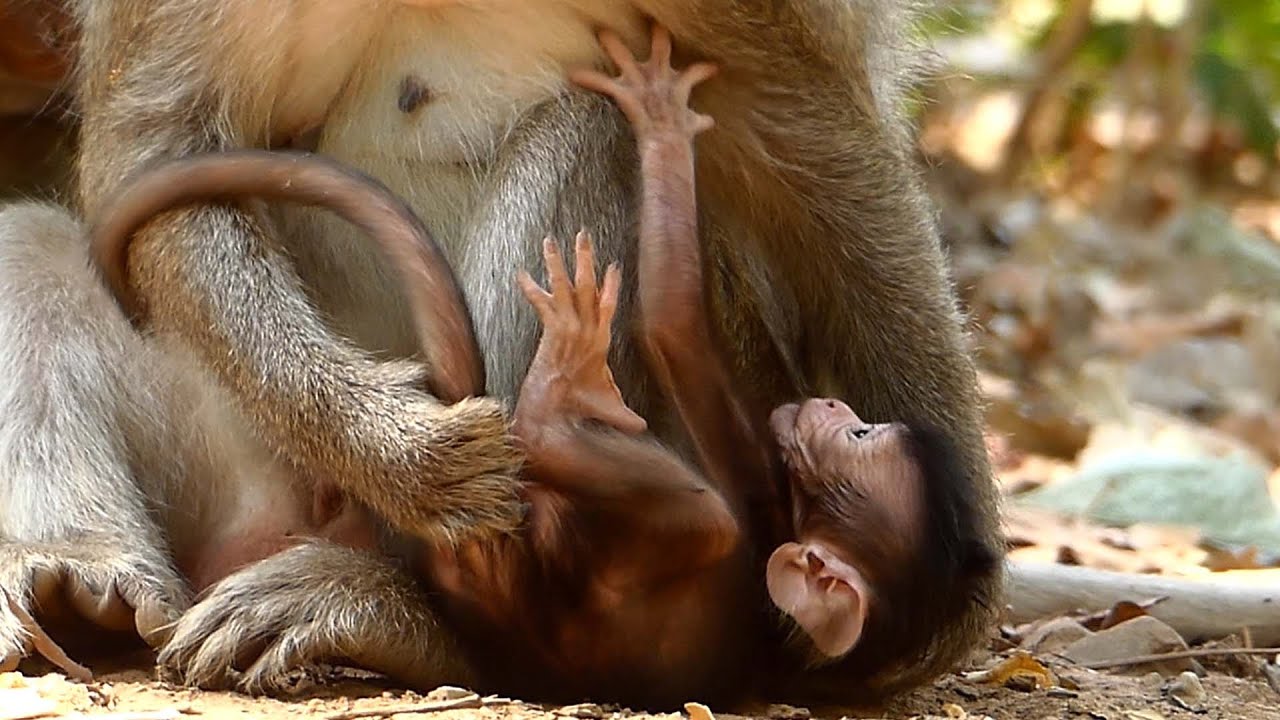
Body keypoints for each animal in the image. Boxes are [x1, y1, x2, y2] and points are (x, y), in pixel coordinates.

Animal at [1, 0, 1003, 704]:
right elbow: (162, 143)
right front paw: (401, 452)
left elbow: (806, 123)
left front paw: (938, 584)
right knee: (34, 251)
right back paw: (76, 573)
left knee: (586, 131)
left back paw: (431, 613)